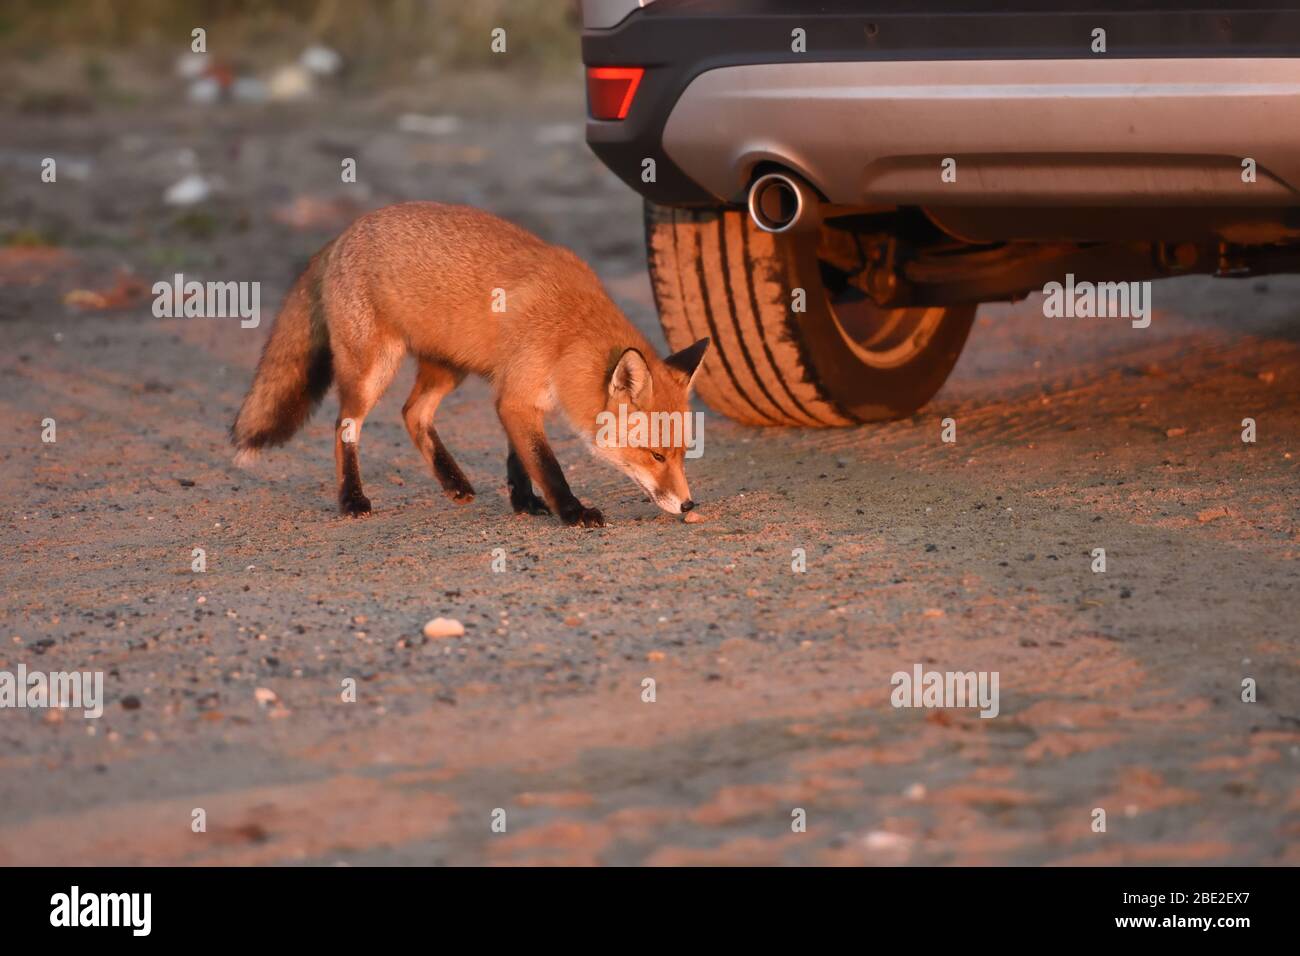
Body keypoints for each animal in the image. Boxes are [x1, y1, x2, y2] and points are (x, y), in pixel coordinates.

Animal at [230, 201, 710, 527]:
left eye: (683, 454)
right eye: (656, 455)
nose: (688, 504)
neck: (567, 335)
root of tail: (346, 232)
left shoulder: (514, 397)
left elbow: (520, 457)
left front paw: (524, 502)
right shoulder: (517, 396)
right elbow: (546, 465)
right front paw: (572, 512)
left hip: (447, 369)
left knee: (412, 414)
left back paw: (453, 482)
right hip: (373, 369)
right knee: (345, 425)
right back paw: (352, 499)